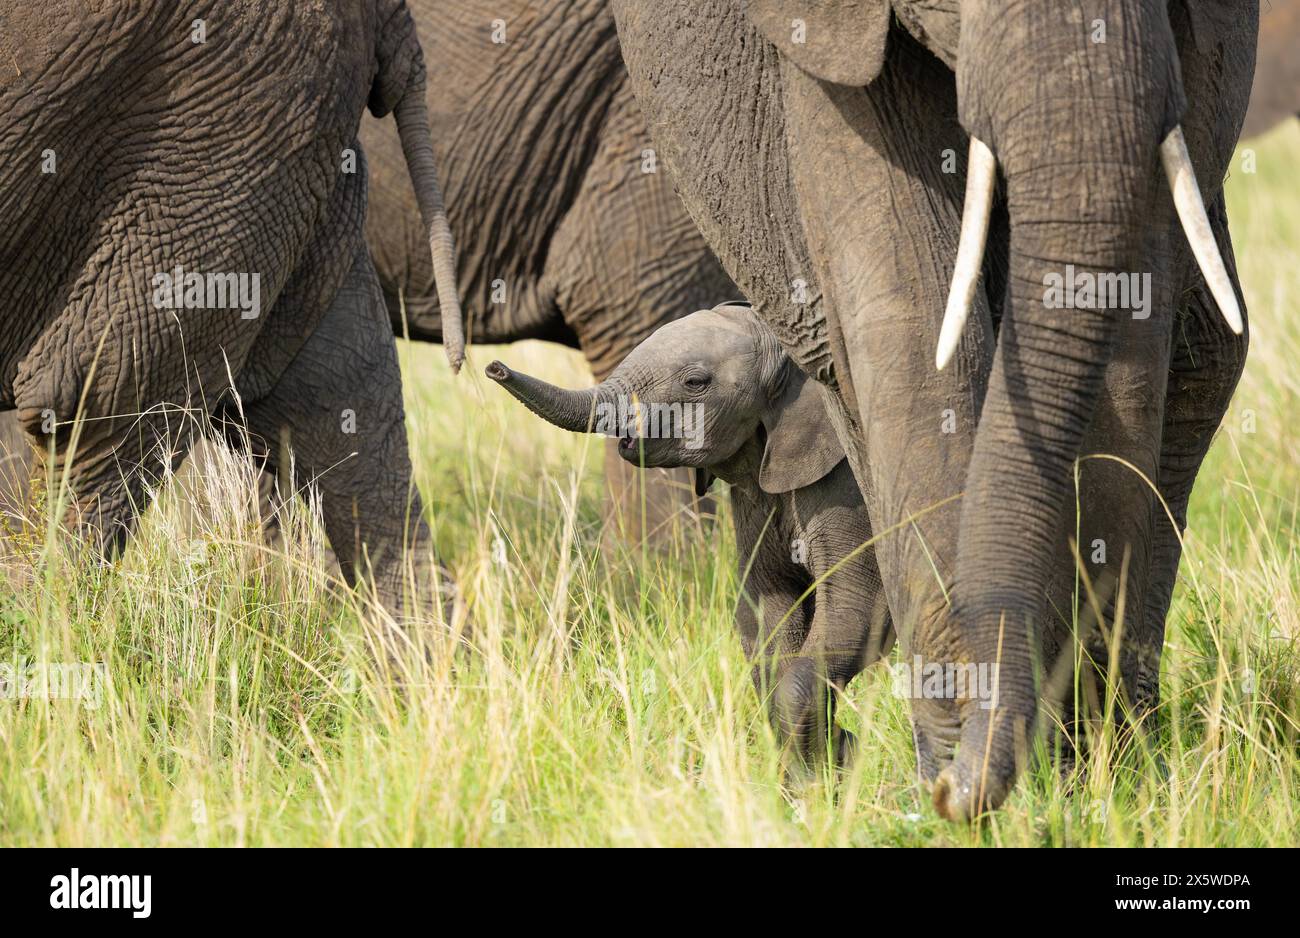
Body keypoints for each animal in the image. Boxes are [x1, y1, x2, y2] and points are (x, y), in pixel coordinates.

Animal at [487, 302, 893, 766]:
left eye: (695, 382)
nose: (495, 367)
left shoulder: (846, 485)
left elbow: (856, 605)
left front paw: (832, 763)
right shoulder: (757, 492)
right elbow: (767, 610)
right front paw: (833, 755)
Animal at [611, 0, 1256, 819]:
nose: (956, 790)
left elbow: (1132, 336)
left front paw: (1077, 784)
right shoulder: (831, 50)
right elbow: (908, 319)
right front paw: (964, 781)